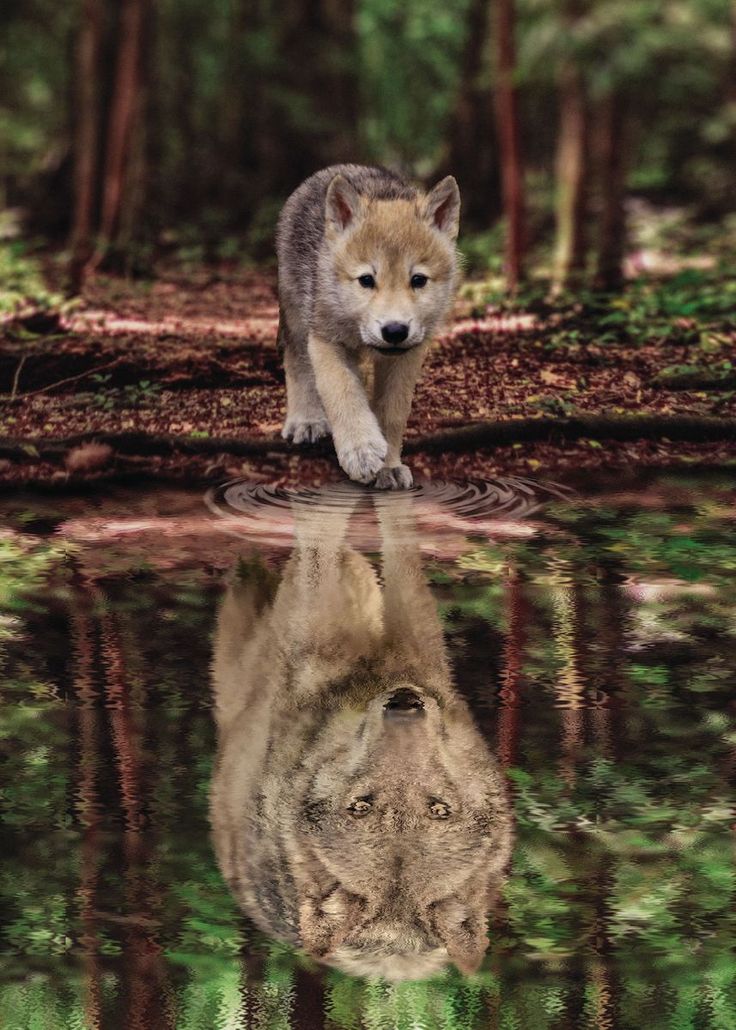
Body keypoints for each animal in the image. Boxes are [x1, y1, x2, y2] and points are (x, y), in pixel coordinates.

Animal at [276, 165, 461, 489]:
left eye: (418, 280)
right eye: (366, 280)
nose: (395, 331)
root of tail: (338, 168)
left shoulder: (408, 355)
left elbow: (391, 413)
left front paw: (389, 466)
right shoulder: (324, 339)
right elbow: (343, 391)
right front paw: (360, 450)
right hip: (297, 319)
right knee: (296, 363)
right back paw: (305, 420)